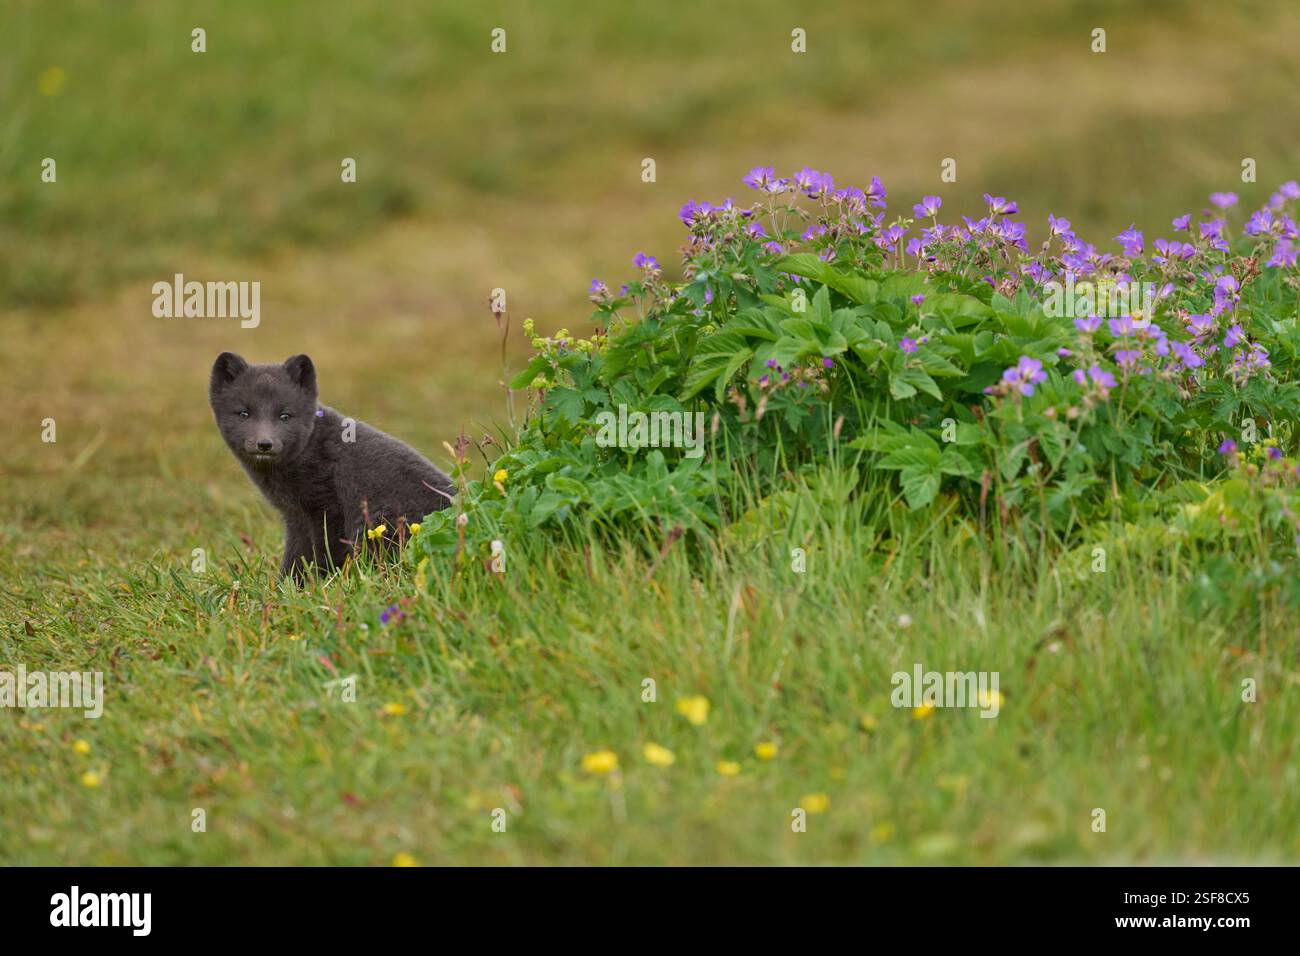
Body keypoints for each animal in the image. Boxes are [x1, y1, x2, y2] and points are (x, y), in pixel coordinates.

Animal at [208, 352, 456, 579]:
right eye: (244, 413)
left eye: (285, 415)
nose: (264, 443)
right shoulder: (295, 516)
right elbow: (297, 553)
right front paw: (288, 584)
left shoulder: (327, 508)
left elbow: (323, 551)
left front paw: (320, 581)